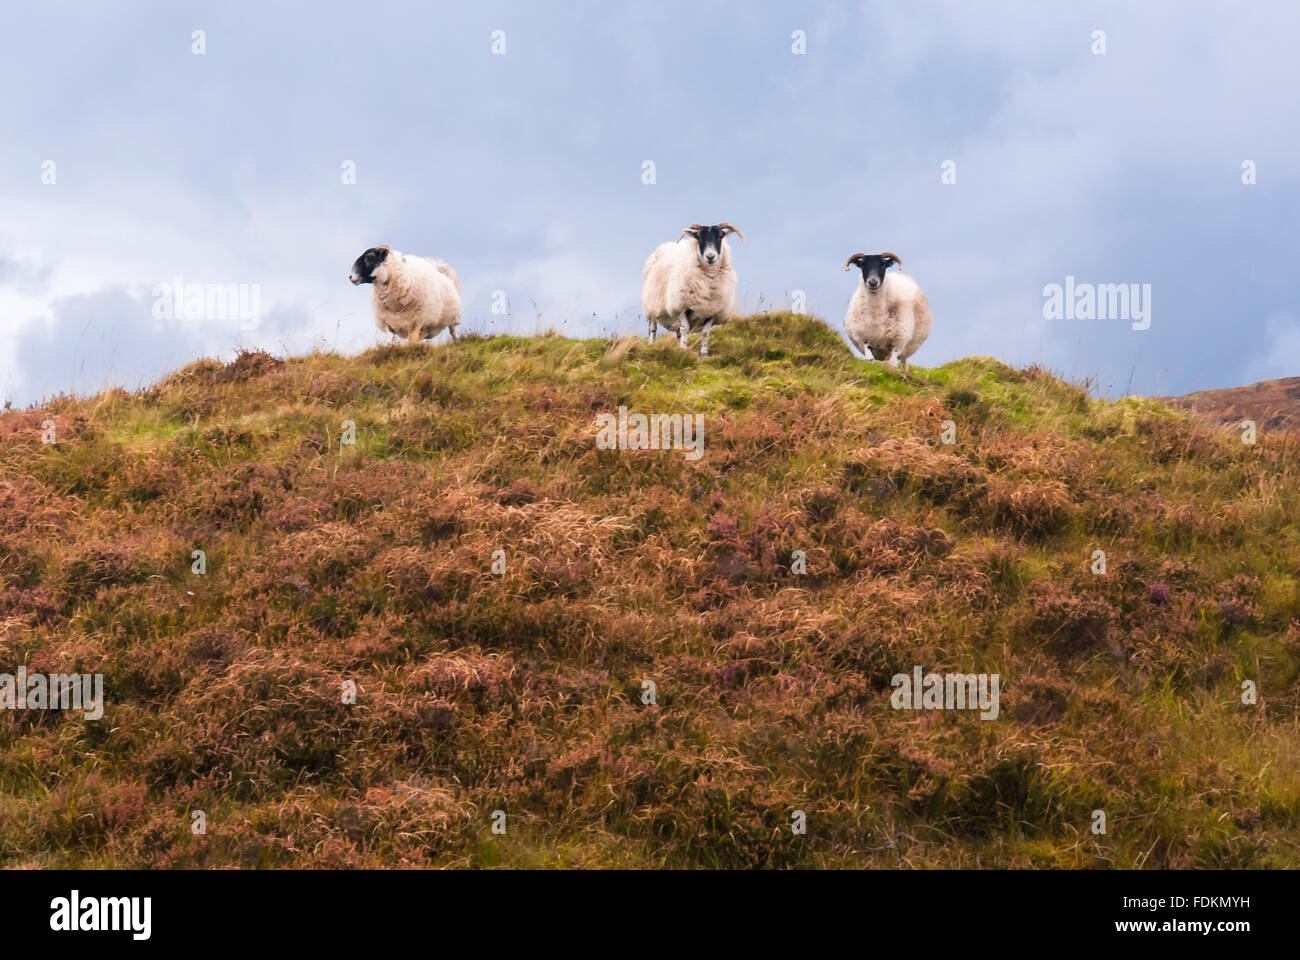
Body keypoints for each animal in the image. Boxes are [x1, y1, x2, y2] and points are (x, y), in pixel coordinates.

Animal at [642, 223, 744, 358]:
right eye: (699, 237)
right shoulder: (681, 306)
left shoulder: (712, 310)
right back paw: (651, 346)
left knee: (678, 332)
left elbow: (705, 333)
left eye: (720, 236)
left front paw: (704, 354)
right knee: (653, 329)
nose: (710, 257)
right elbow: (685, 329)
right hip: (652, 305)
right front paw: (684, 351)